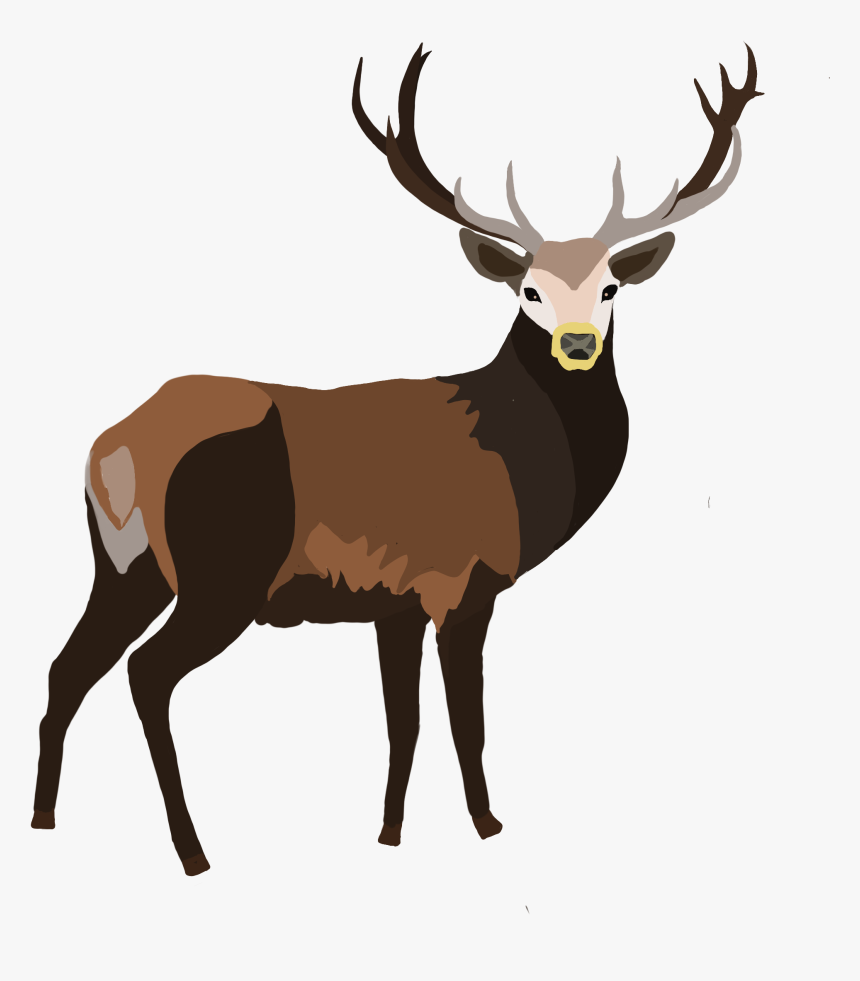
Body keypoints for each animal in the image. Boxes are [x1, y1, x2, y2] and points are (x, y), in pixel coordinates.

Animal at [31, 44, 761, 876]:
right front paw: (487, 825)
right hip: (223, 573)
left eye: (610, 288)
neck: (520, 463)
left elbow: (401, 722)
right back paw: (193, 850)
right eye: (529, 291)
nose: (577, 344)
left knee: (66, 666)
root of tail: (114, 449)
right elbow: (466, 718)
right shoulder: (466, 580)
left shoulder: (395, 598)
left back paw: (44, 817)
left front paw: (389, 832)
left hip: (125, 565)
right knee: (146, 674)